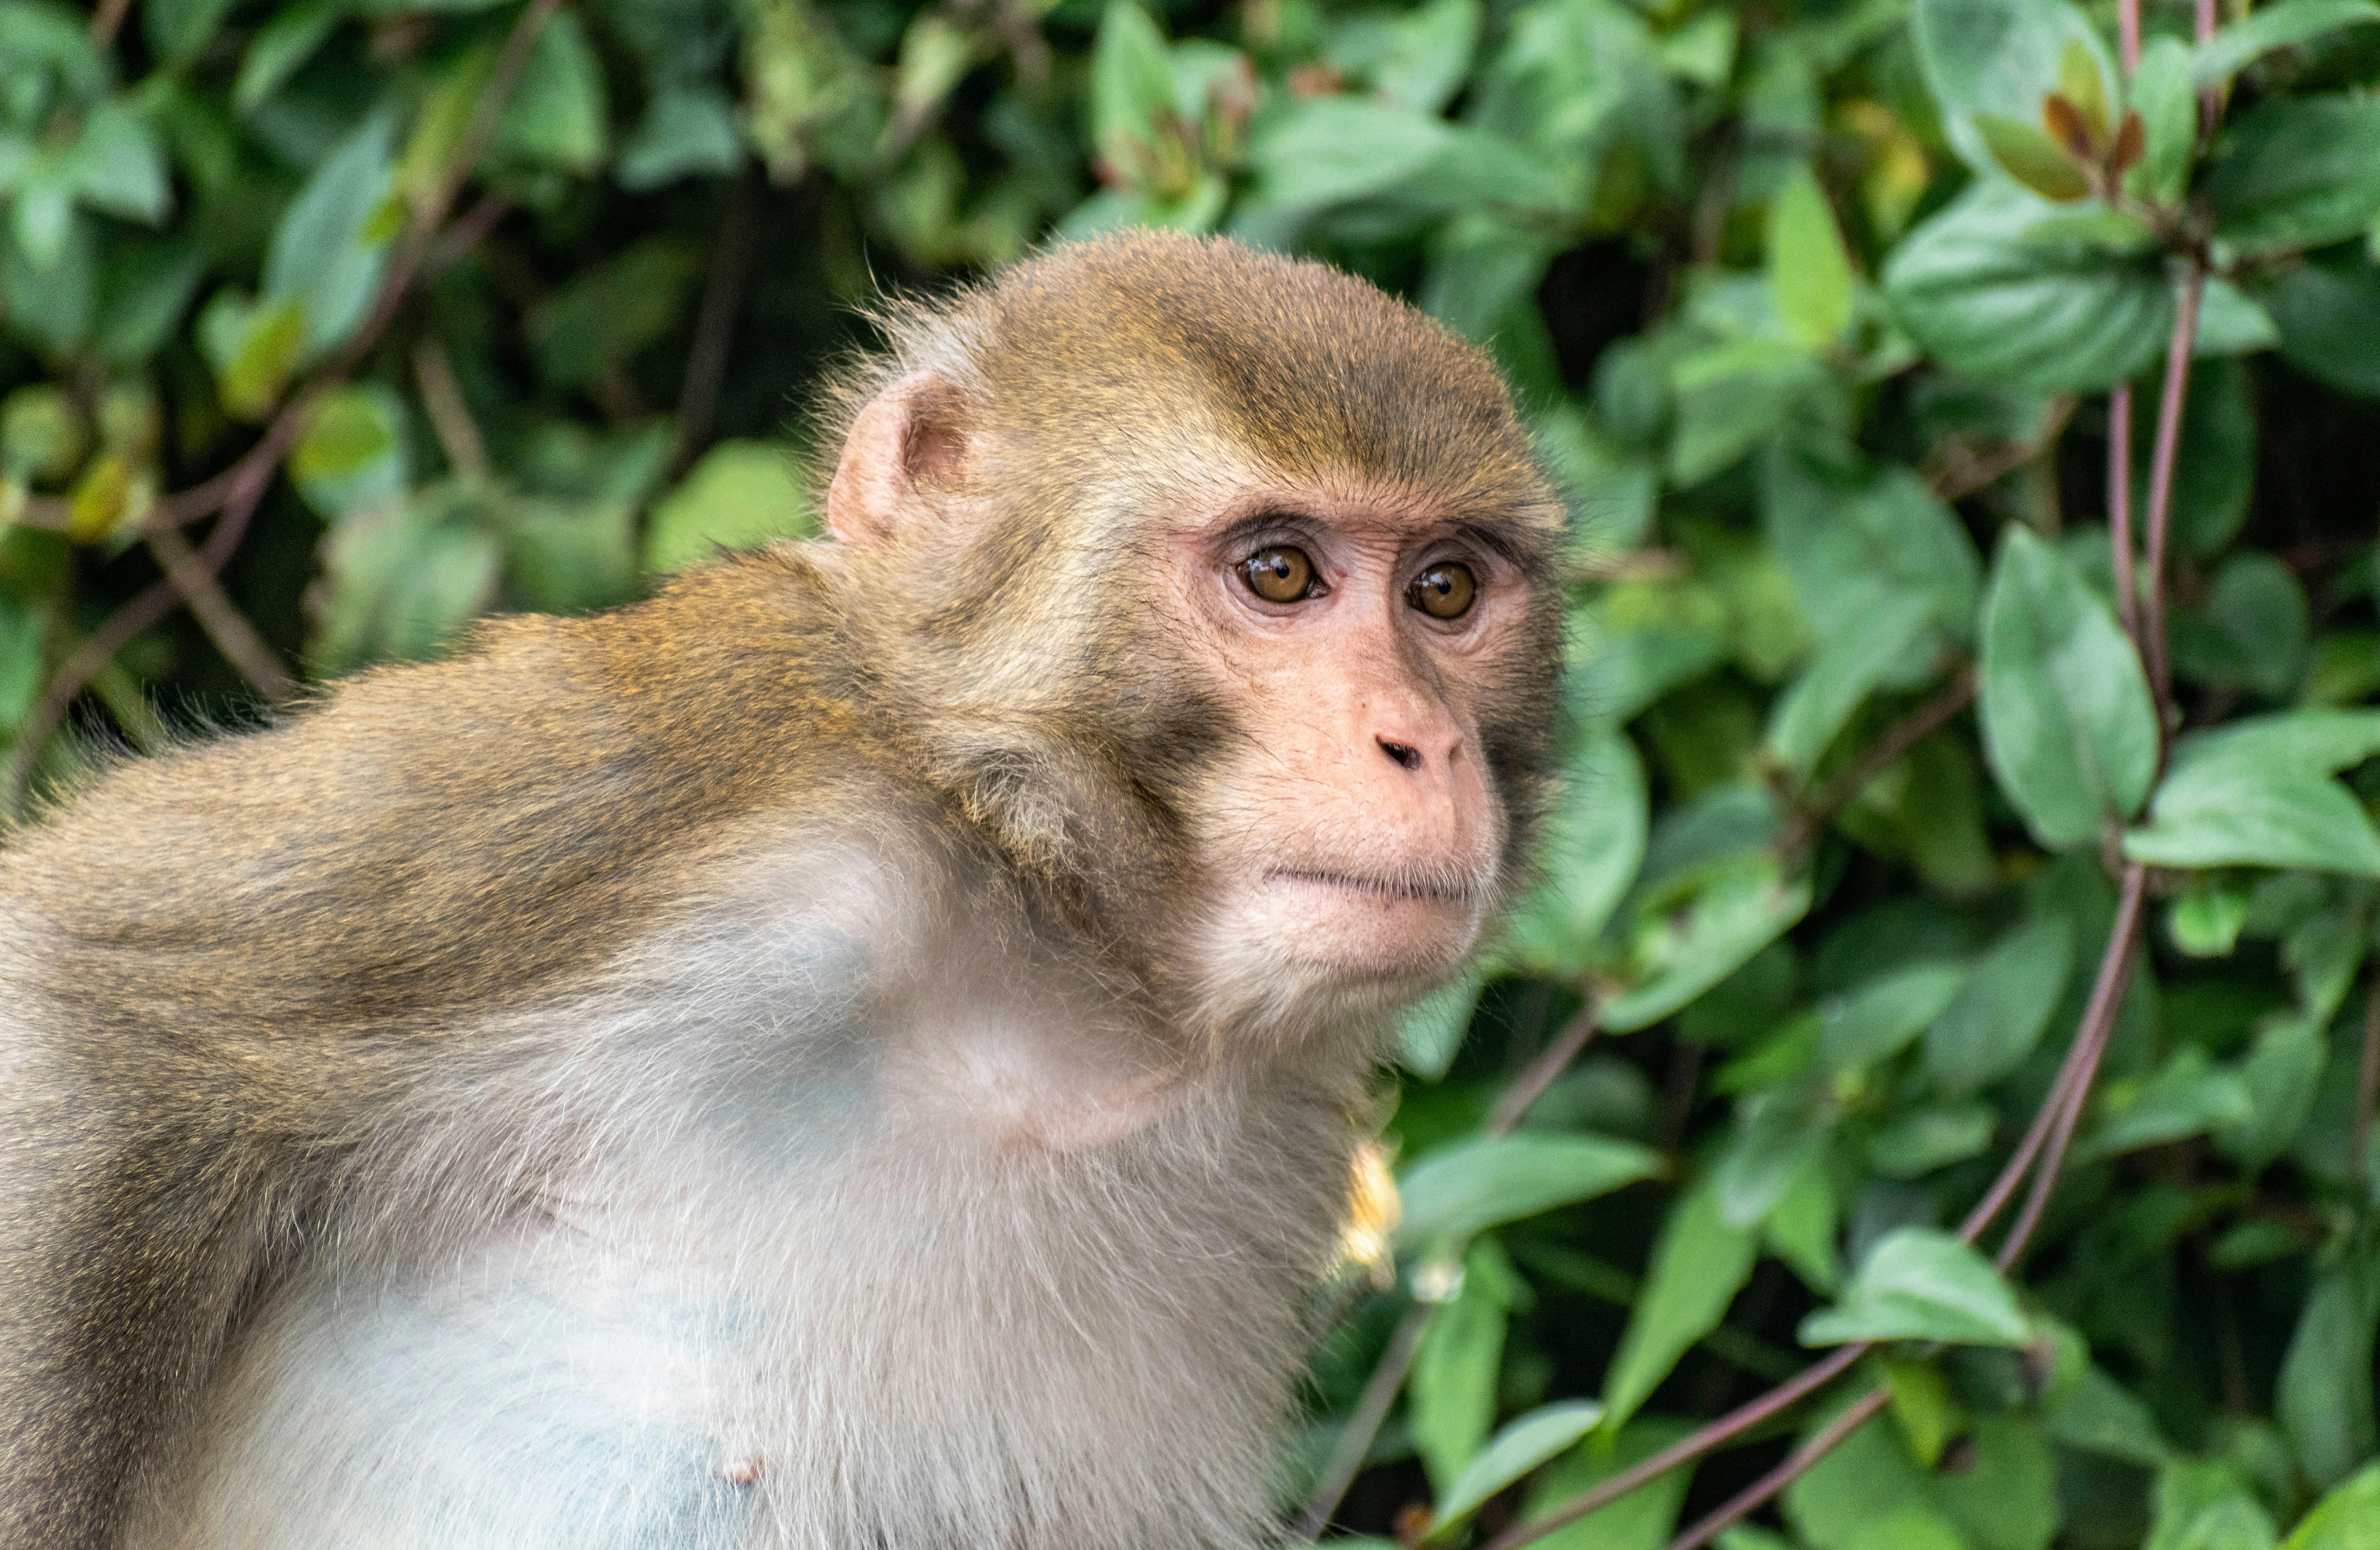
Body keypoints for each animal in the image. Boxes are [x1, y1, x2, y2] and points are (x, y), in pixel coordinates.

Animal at [0, 231, 1565, 1550]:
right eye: (1280, 571)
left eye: (1442, 590)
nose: (1418, 743)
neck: (1061, 961)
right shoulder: (717, 767)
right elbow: (96, 1001)